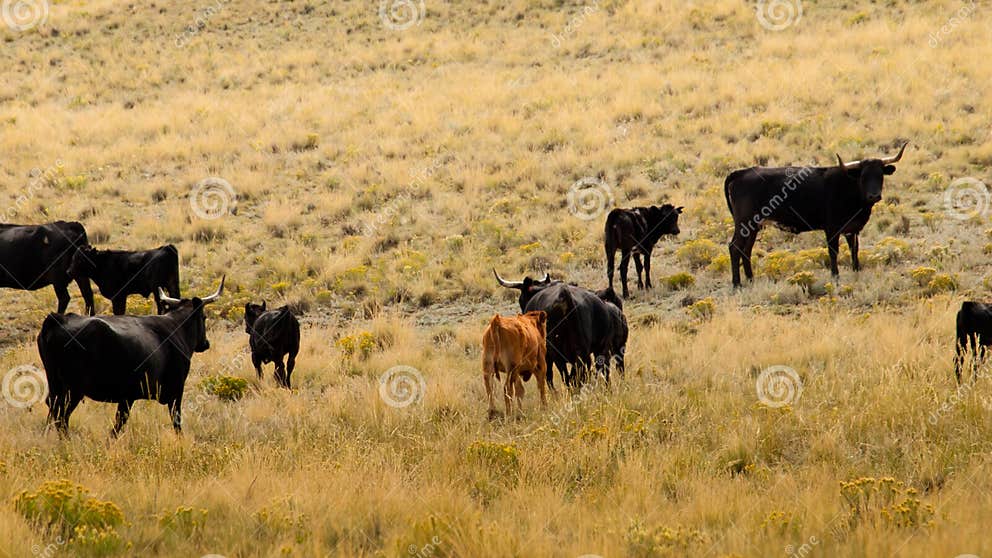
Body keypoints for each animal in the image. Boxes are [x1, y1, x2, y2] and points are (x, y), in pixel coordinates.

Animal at [36, 277, 224, 436]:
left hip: (56, 383)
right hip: (73, 389)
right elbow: (175, 421)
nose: (206, 343)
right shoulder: (176, 389)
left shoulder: (128, 397)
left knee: (54, 409)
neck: (176, 328)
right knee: (62, 416)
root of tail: (57, 320)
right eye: (204, 317)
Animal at [725, 143, 907, 287]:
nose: (874, 195)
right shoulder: (832, 229)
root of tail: (741, 172)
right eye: (864, 176)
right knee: (735, 247)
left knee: (746, 250)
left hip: (754, 226)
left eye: (880, 175)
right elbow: (833, 252)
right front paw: (835, 277)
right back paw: (737, 284)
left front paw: (856, 271)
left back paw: (750, 280)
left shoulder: (852, 229)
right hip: (745, 223)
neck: (849, 187)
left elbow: (854, 250)